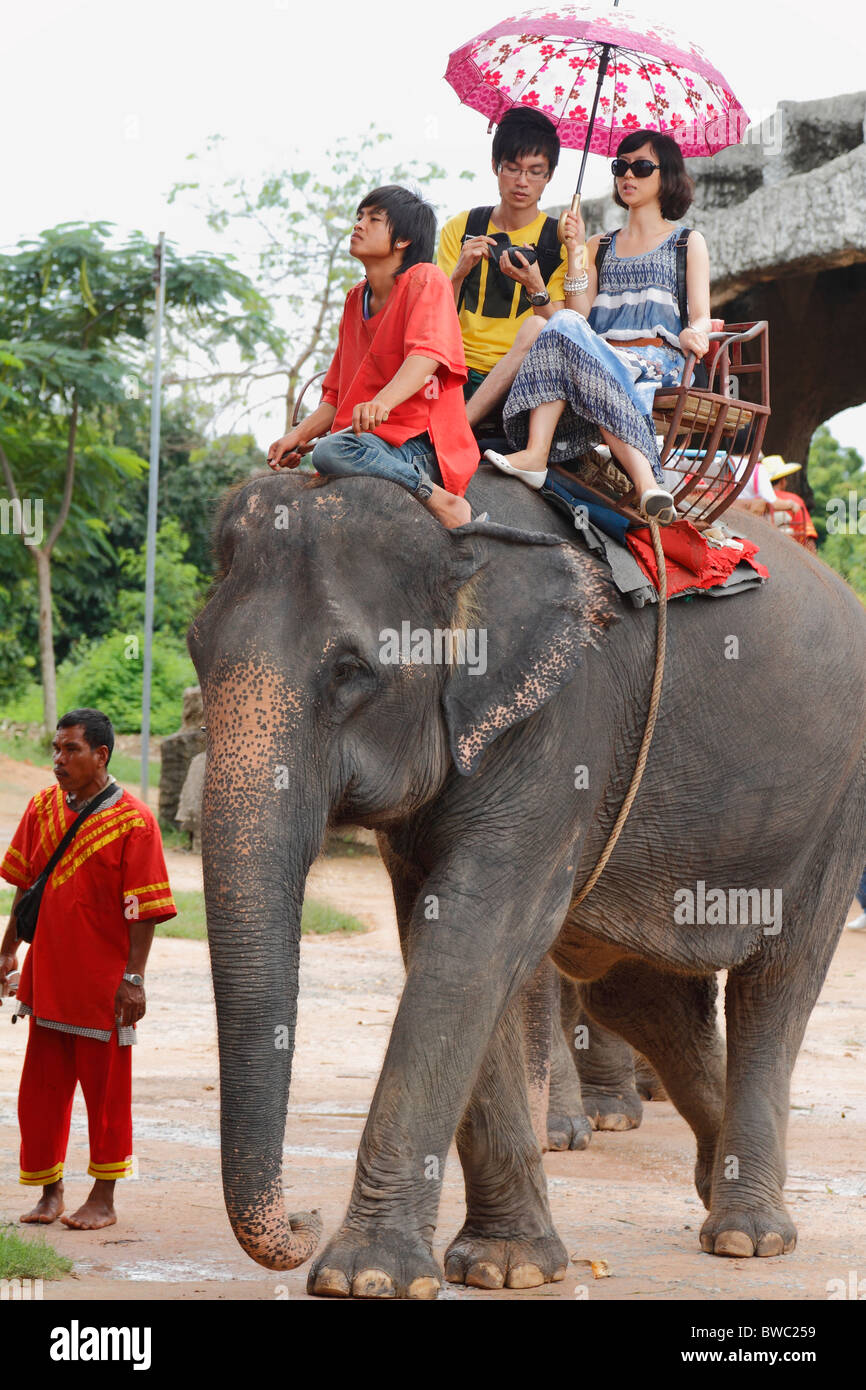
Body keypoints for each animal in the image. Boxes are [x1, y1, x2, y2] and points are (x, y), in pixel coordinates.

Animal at [189, 463, 866, 1299]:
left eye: (351, 673)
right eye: (194, 651)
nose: (301, 1220)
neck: (455, 525)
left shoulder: (563, 721)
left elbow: (478, 933)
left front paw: (364, 1277)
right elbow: (445, 936)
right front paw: (506, 1267)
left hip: (839, 805)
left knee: (776, 984)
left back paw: (749, 1236)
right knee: (641, 997)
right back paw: (720, 1185)